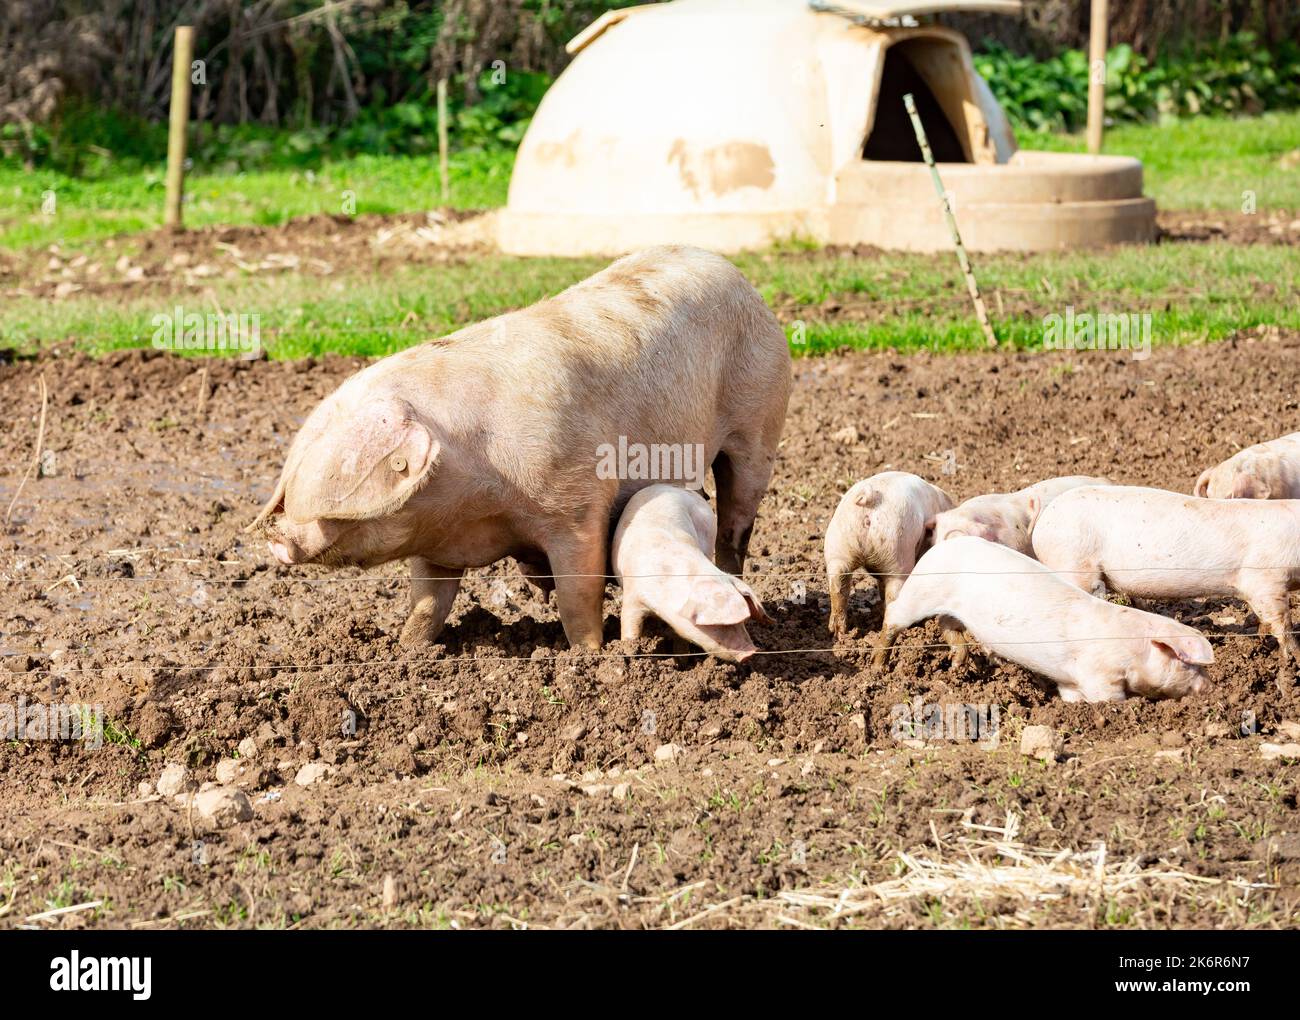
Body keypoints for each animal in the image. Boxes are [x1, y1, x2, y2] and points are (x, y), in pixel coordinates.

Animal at [612, 485, 771, 662]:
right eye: (719, 626)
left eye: (743, 622)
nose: (751, 652)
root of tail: (681, 489)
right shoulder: (632, 592)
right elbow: (629, 622)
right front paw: (630, 651)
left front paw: (683, 660)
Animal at [824, 472, 954, 636]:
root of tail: (870, 497)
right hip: (898, 551)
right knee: (893, 597)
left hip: (838, 548)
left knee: (838, 588)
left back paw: (839, 633)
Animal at [873, 536, 1214, 702]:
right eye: (1187, 662)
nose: (1210, 687)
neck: (1132, 648)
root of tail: (941, 547)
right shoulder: (1098, 675)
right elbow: (1109, 700)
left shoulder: (1070, 681)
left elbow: (1069, 696)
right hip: (923, 590)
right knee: (894, 617)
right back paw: (879, 667)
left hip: (954, 607)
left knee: (946, 625)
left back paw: (959, 666)